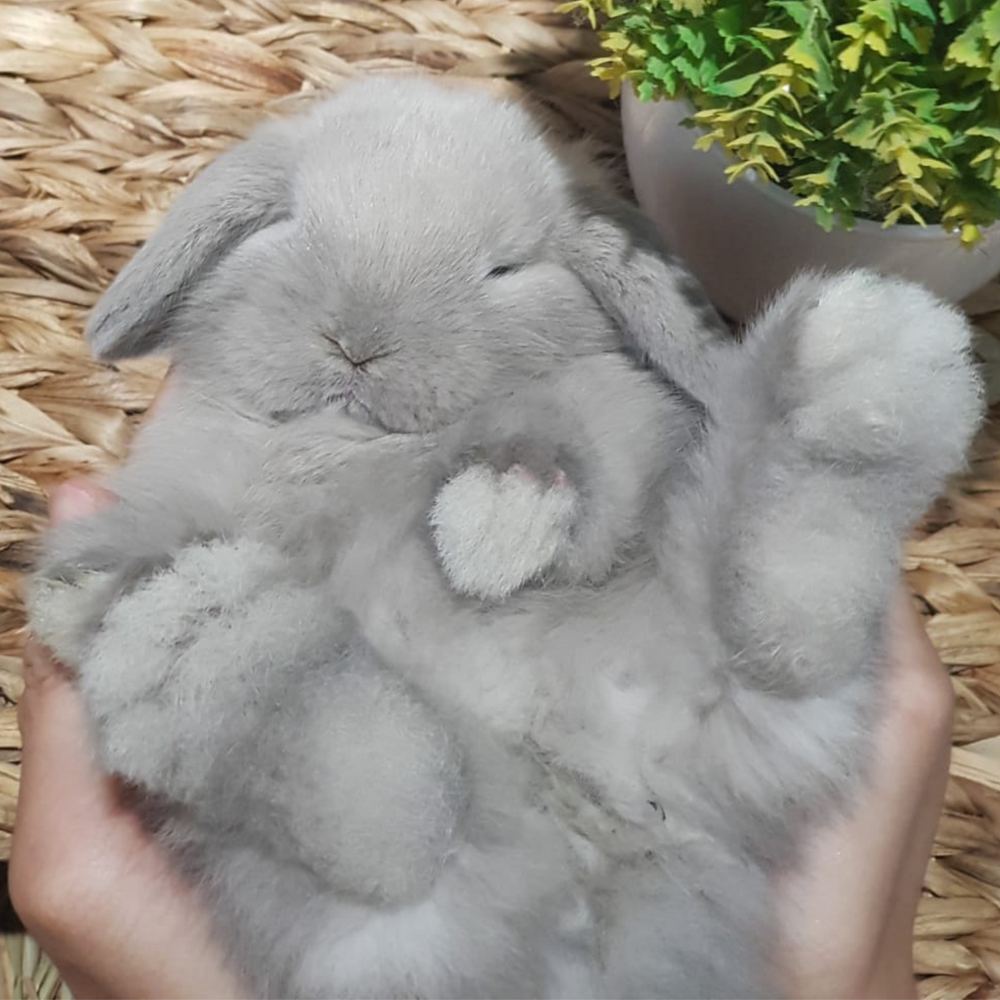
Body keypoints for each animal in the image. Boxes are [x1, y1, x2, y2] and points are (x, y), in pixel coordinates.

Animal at [25, 73, 983, 1000]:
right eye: (290, 223)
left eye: (505, 269)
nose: (358, 344)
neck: (363, 446)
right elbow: (126, 552)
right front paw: (83, 592)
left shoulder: (617, 416)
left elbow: (568, 449)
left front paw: (493, 527)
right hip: (364, 927)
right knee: (402, 824)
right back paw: (200, 647)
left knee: (783, 645)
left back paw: (867, 373)